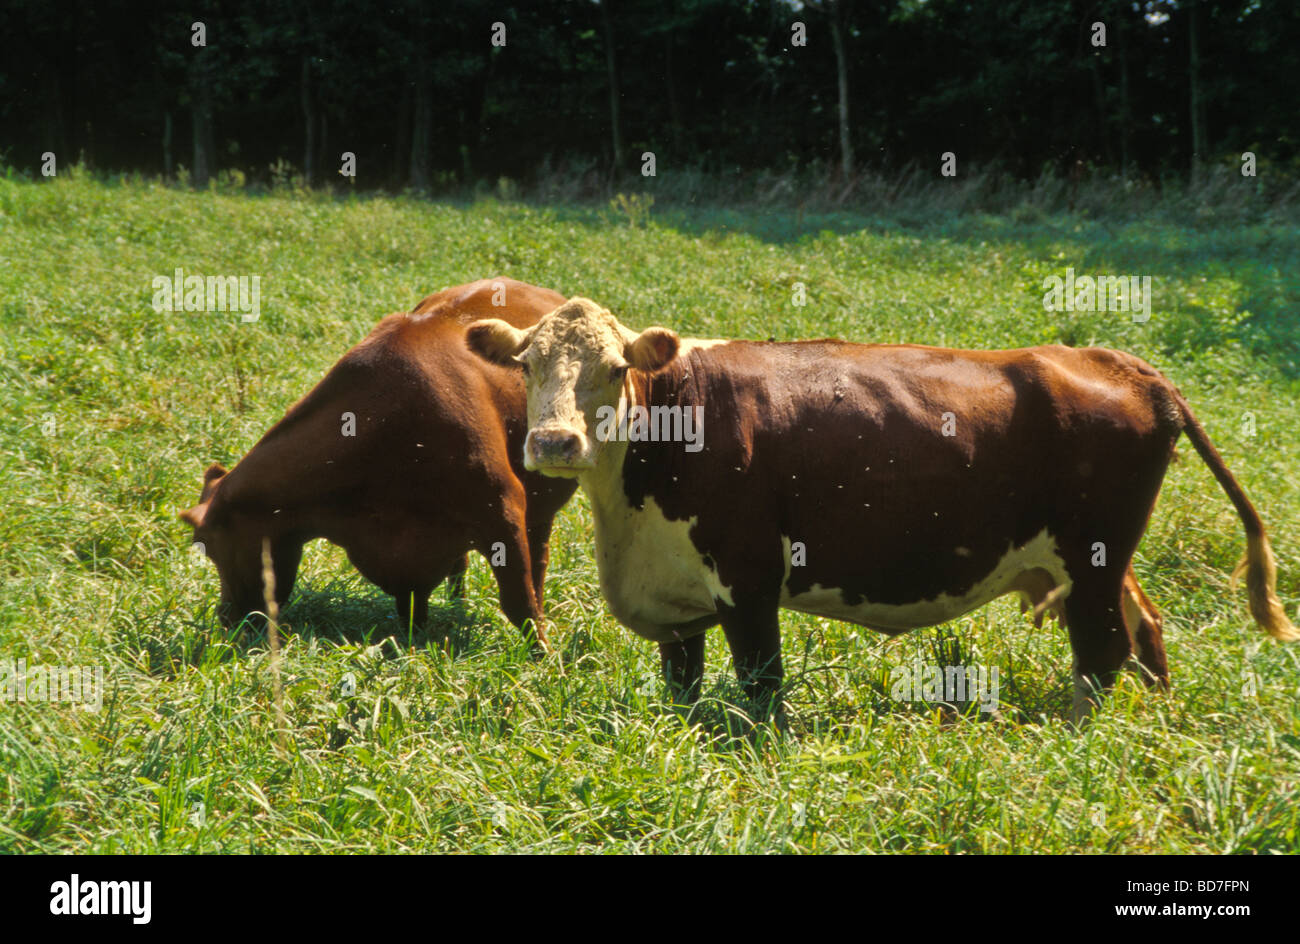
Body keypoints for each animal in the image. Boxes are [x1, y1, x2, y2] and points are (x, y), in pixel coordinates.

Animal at [181, 278, 577, 649]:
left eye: (207, 544)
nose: (225, 617)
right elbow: (413, 609)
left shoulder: (503, 509)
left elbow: (519, 603)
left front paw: (543, 654)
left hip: (542, 502)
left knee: (538, 562)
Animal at [466, 297, 1297, 721]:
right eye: (527, 364)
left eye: (613, 369)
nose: (554, 440)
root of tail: (1118, 361)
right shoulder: (676, 599)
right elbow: (683, 682)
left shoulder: (749, 574)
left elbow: (761, 682)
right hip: (1097, 558)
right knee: (1145, 626)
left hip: (1090, 556)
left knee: (1101, 650)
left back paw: (1075, 731)